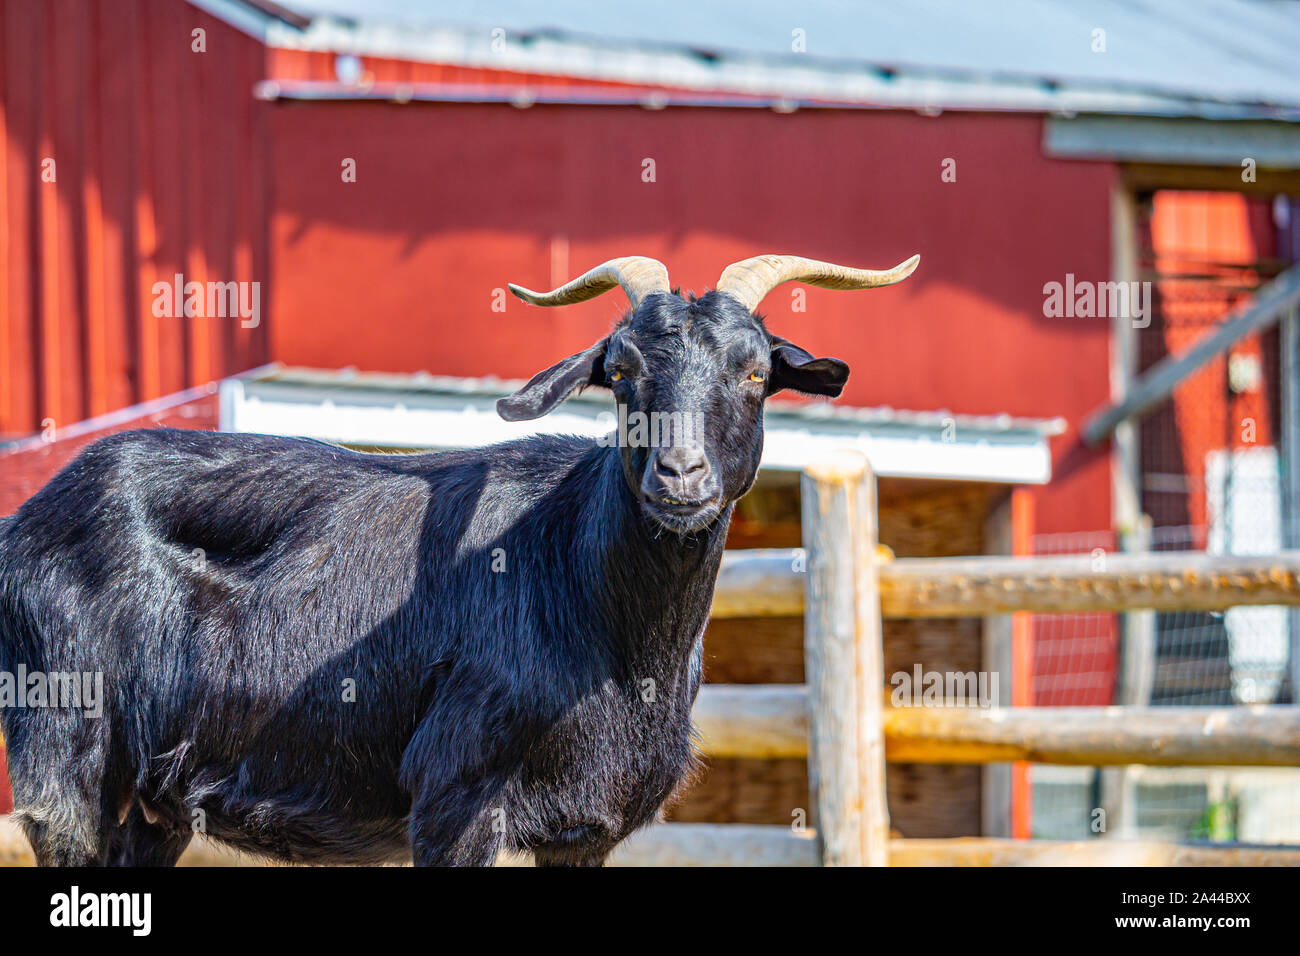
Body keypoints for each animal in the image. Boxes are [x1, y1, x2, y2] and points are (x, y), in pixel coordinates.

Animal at [0, 252, 918, 866]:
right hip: (65, 754)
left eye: (756, 372)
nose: (679, 475)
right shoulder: (455, 791)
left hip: (152, 804)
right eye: (620, 372)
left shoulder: (585, 825)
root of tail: (25, 521)